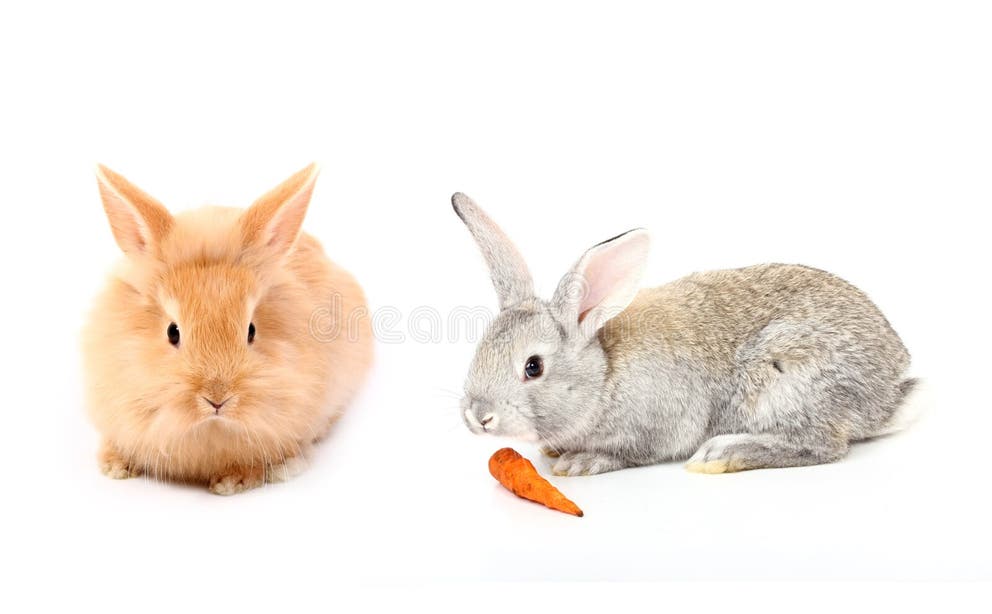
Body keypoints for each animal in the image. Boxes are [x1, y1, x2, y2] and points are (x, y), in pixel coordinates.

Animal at [451, 192, 918, 476]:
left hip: (786, 381)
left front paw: (580, 463)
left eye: (533, 367)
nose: (478, 416)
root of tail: (888, 392)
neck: (603, 377)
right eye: (479, 350)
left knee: (823, 445)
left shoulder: (660, 424)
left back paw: (721, 454)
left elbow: (629, 452)